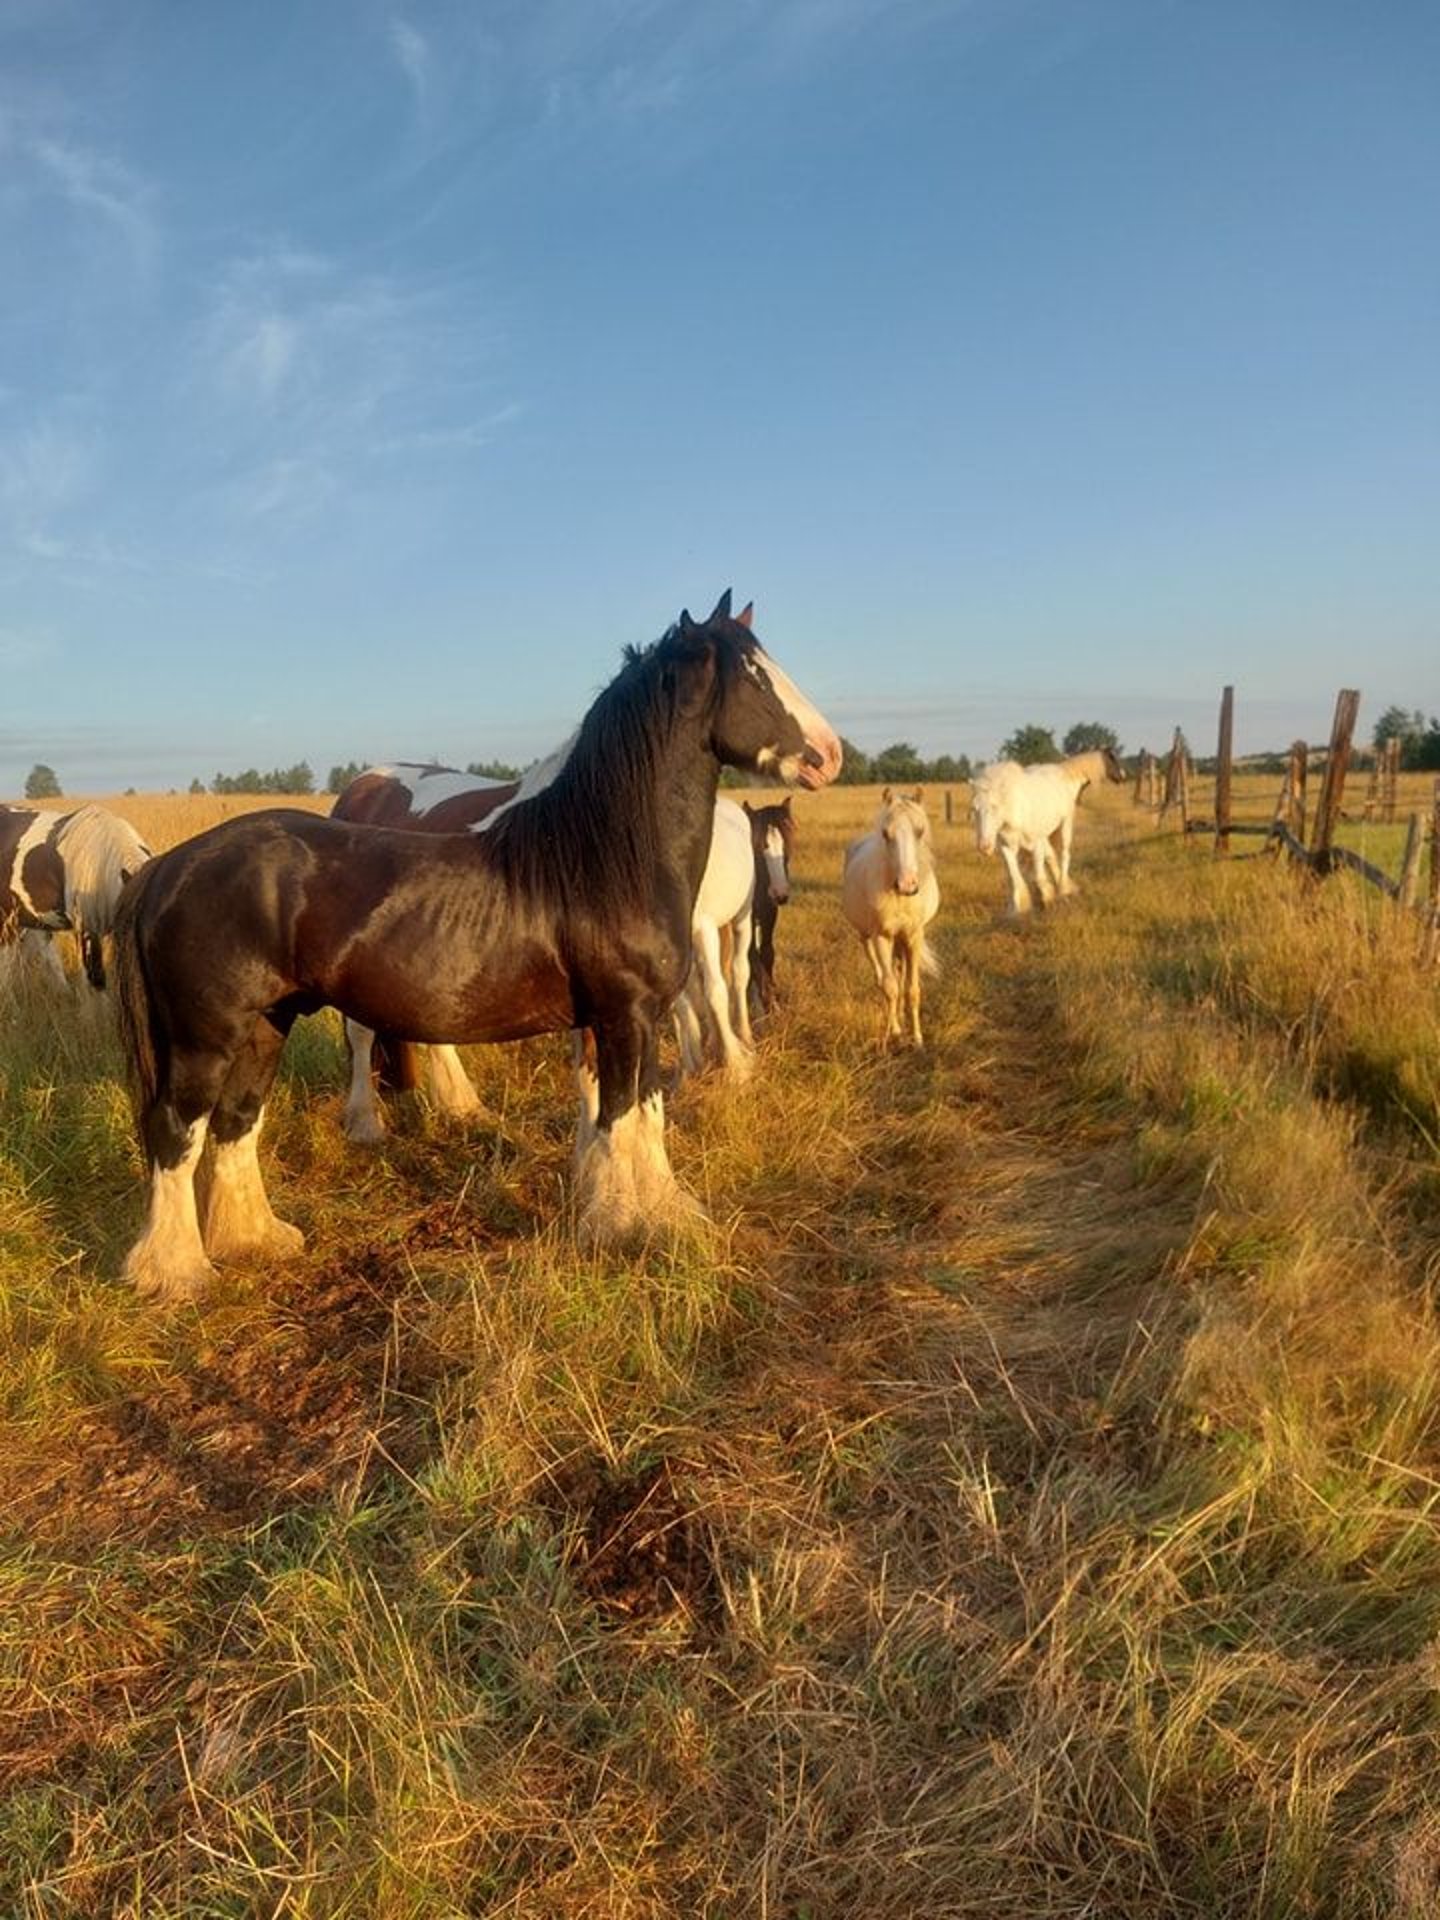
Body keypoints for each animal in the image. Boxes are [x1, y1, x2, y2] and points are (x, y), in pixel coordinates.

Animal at [673, 796, 757, 1079]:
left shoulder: (702, 927)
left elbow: (715, 991)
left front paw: (736, 1064)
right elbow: (681, 1003)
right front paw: (690, 1066)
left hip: (742, 916)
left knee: (739, 974)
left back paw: (745, 1036)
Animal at [841, 788, 940, 1047]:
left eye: (920, 831)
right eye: (886, 834)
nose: (907, 885)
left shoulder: (913, 937)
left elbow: (912, 990)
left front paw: (917, 1039)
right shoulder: (882, 937)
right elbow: (890, 988)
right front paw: (892, 1034)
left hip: (901, 941)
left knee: (899, 972)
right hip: (867, 938)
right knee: (882, 977)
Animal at [970, 746, 1126, 914]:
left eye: (995, 807)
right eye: (974, 809)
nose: (984, 847)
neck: (1016, 809)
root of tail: (1060, 772)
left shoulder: (1036, 843)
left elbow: (1039, 875)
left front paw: (1047, 898)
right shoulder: (1006, 848)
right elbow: (1014, 878)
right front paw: (1017, 909)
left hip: (1065, 824)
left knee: (1064, 854)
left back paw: (1064, 888)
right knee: (1052, 857)